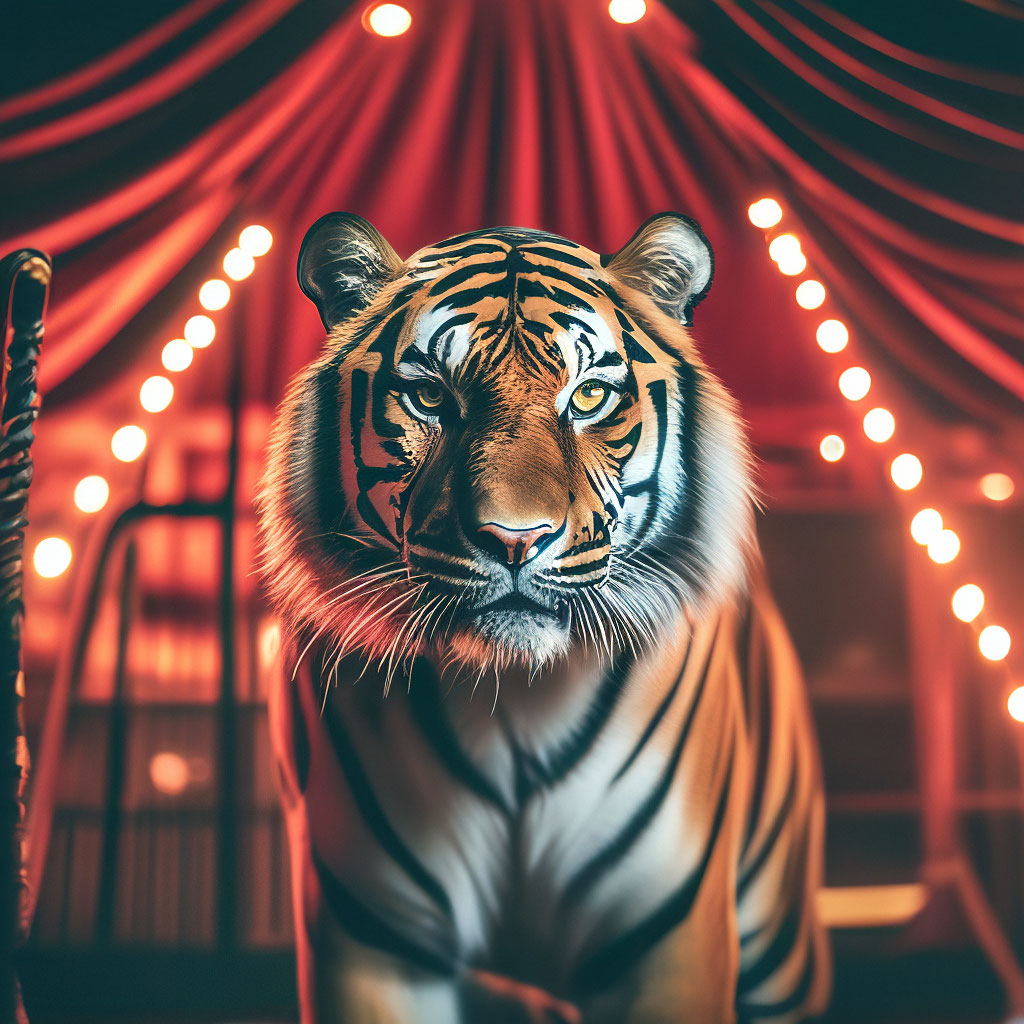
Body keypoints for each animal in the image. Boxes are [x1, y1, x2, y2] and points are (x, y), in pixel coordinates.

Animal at [257, 211, 831, 1024]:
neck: (512, 709)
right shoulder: (375, 939)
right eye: (430, 398)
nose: (514, 538)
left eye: (588, 397)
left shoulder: (670, 938)